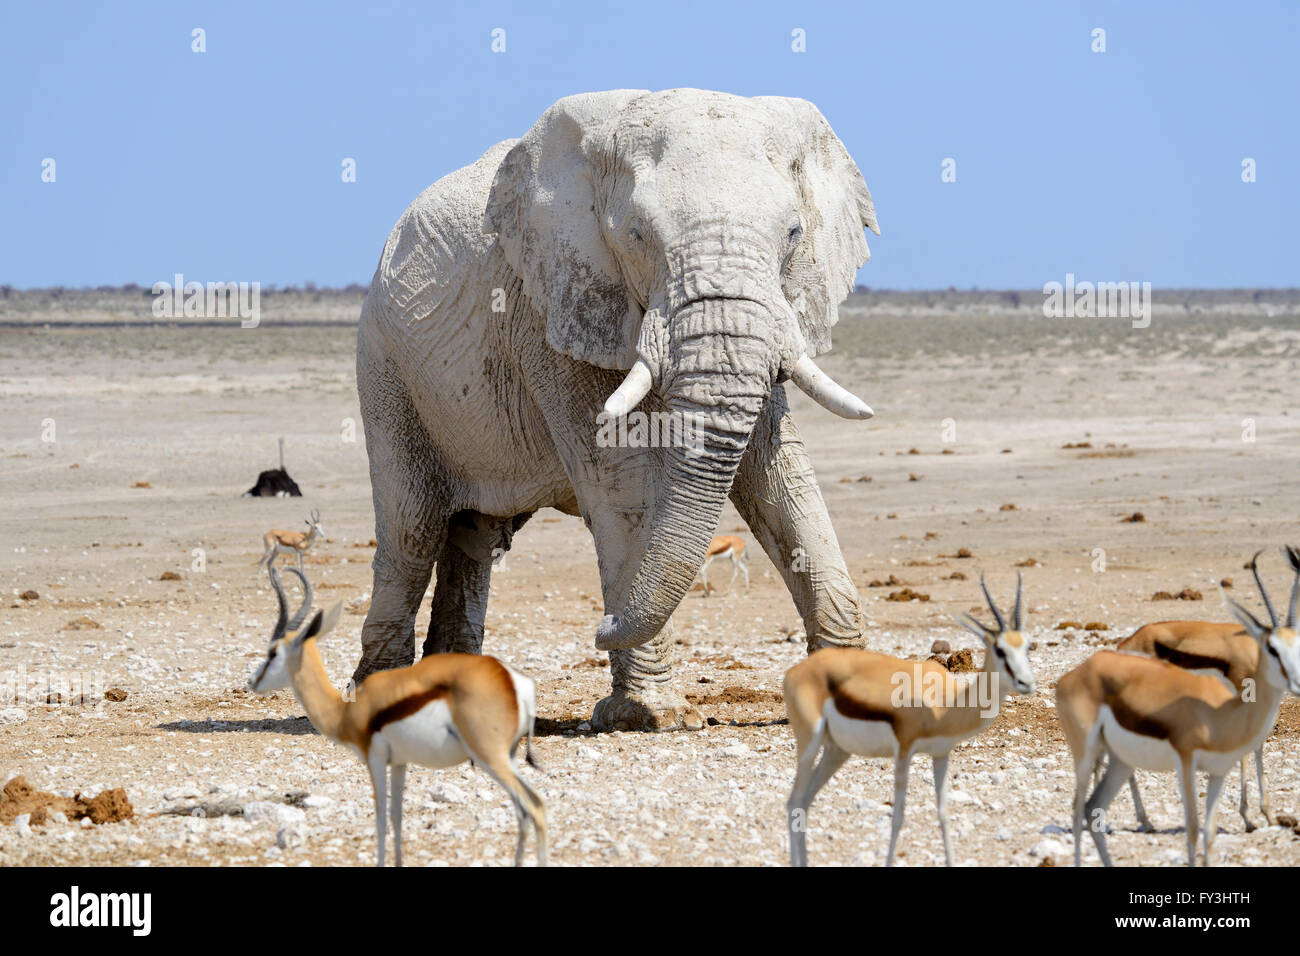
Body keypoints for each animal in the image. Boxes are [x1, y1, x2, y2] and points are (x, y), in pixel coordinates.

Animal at [352, 88, 880, 731]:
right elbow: (620, 483)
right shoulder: (547, 306)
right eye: (636, 236)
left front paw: (849, 690)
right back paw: (382, 695)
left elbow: (778, 476)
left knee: (473, 535)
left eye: (794, 233)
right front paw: (648, 714)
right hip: (385, 366)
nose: (600, 625)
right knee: (412, 529)